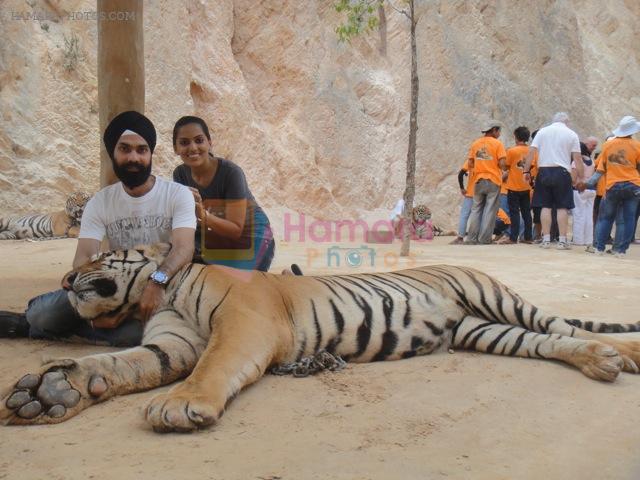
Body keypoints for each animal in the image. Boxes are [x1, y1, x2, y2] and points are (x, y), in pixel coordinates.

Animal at [2, 243, 639, 432]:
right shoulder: (173, 344)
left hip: (495, 297)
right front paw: (47, 393)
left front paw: (181, 406)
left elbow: (213, 366)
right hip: (483, 330)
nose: (67, 280)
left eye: (100, 257)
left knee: (558, 323)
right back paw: (603, 361)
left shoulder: (244, 324)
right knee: (551, 342)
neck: (164, 291)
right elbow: (126, 365)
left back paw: (626, 353)